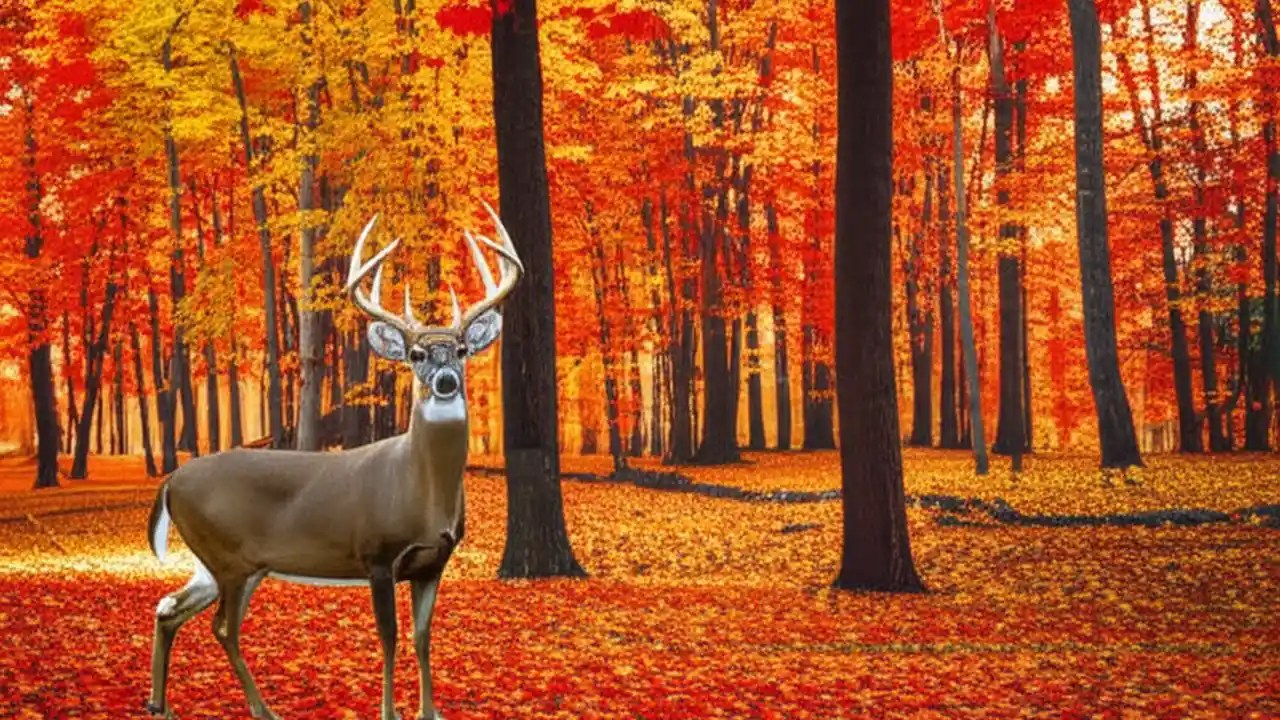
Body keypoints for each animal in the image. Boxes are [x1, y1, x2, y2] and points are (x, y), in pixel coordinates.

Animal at [143, 202, 522, 720]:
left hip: (218, 563)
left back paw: (159, 703)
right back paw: (262, 710)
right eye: (416, 354)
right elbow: (389, 637)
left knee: (169, 607)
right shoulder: (376, 554)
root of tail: (170, 482)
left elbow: (423, 636)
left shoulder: (433, 562)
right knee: (222, 627)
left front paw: (430, 712)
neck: (423, 495)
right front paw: (389, 712)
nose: (445, 380)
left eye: (463, 350)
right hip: (229, 557)